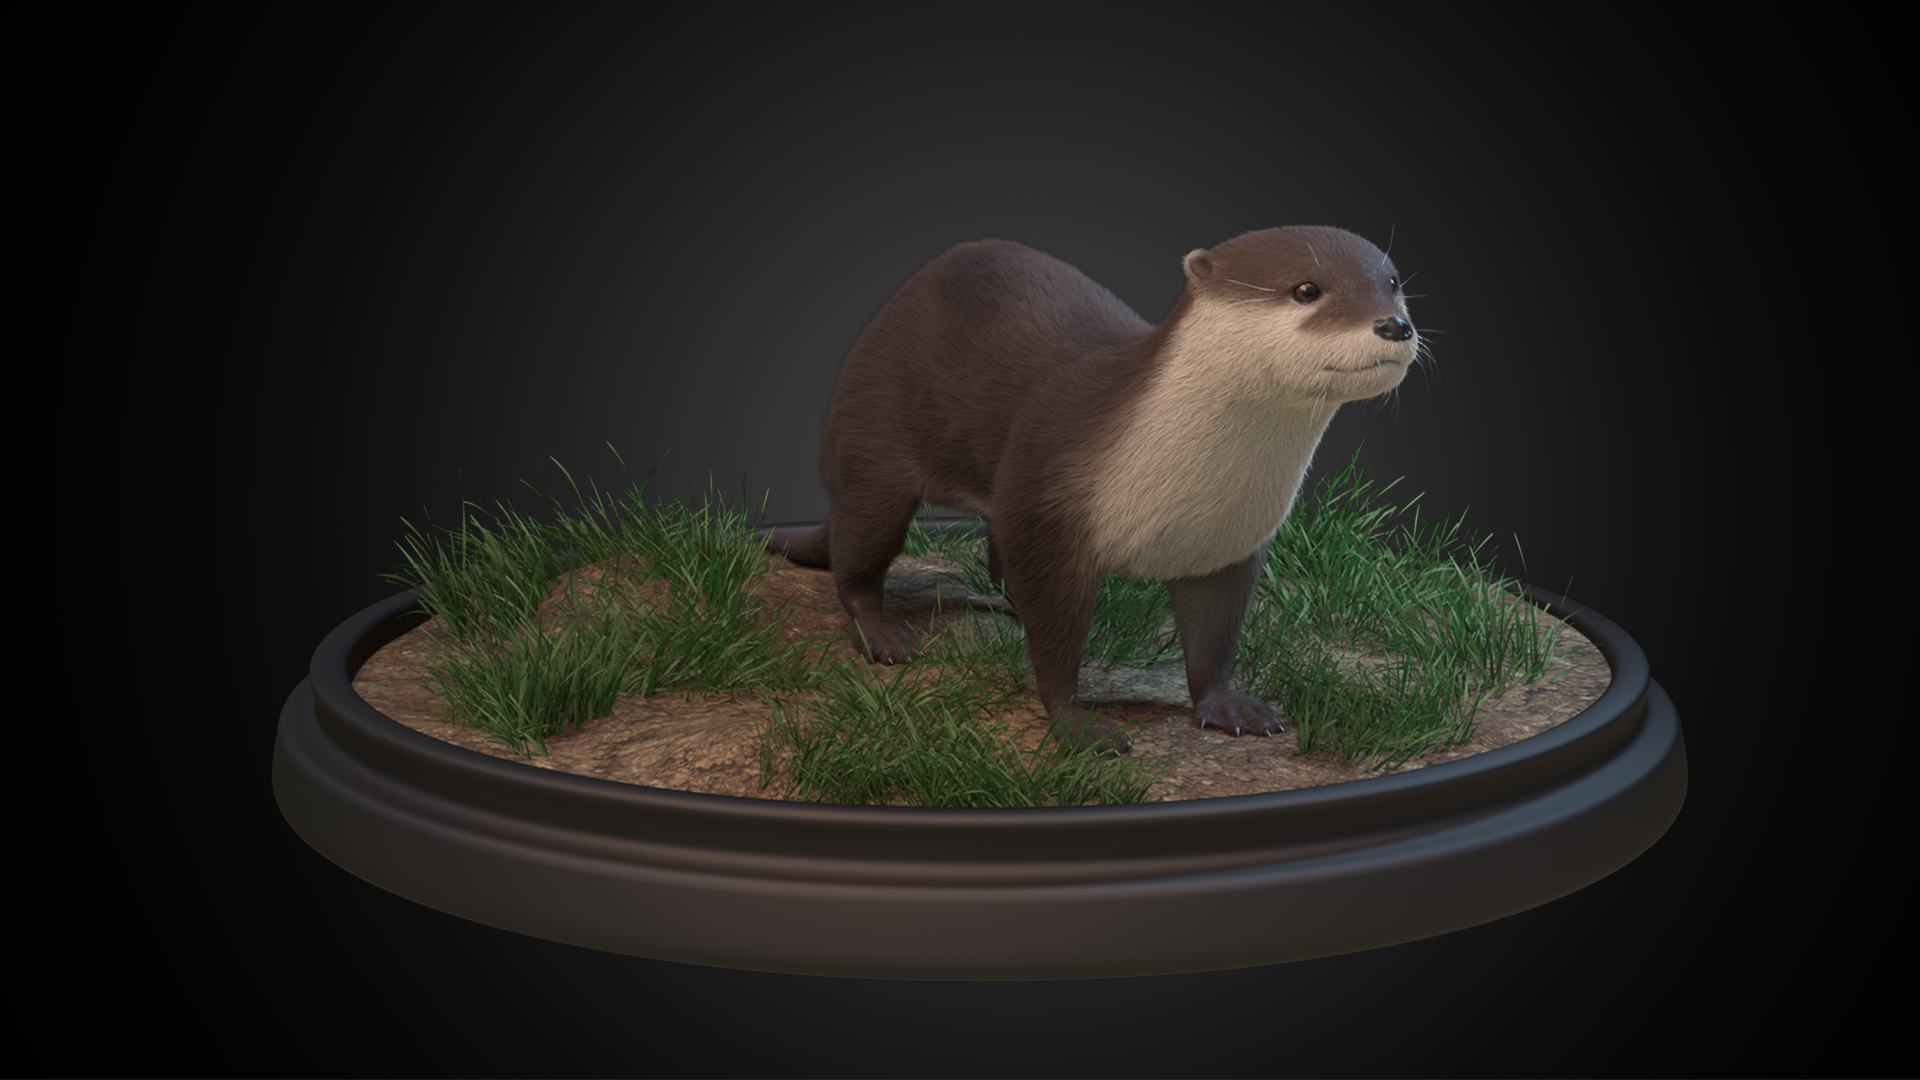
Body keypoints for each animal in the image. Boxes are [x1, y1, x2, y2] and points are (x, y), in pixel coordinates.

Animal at [766, 226, 1418, 753]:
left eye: (1392, 283)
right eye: (1307, 289)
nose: (1395, 324)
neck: (1184, 486)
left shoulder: (1228, 542)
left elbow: (1214, 635)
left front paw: (1228, 705)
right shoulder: (1050, 507)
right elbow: (1057, 641)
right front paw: (1074, 723)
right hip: (872, 444)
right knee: (858, 552)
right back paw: (883, 634)